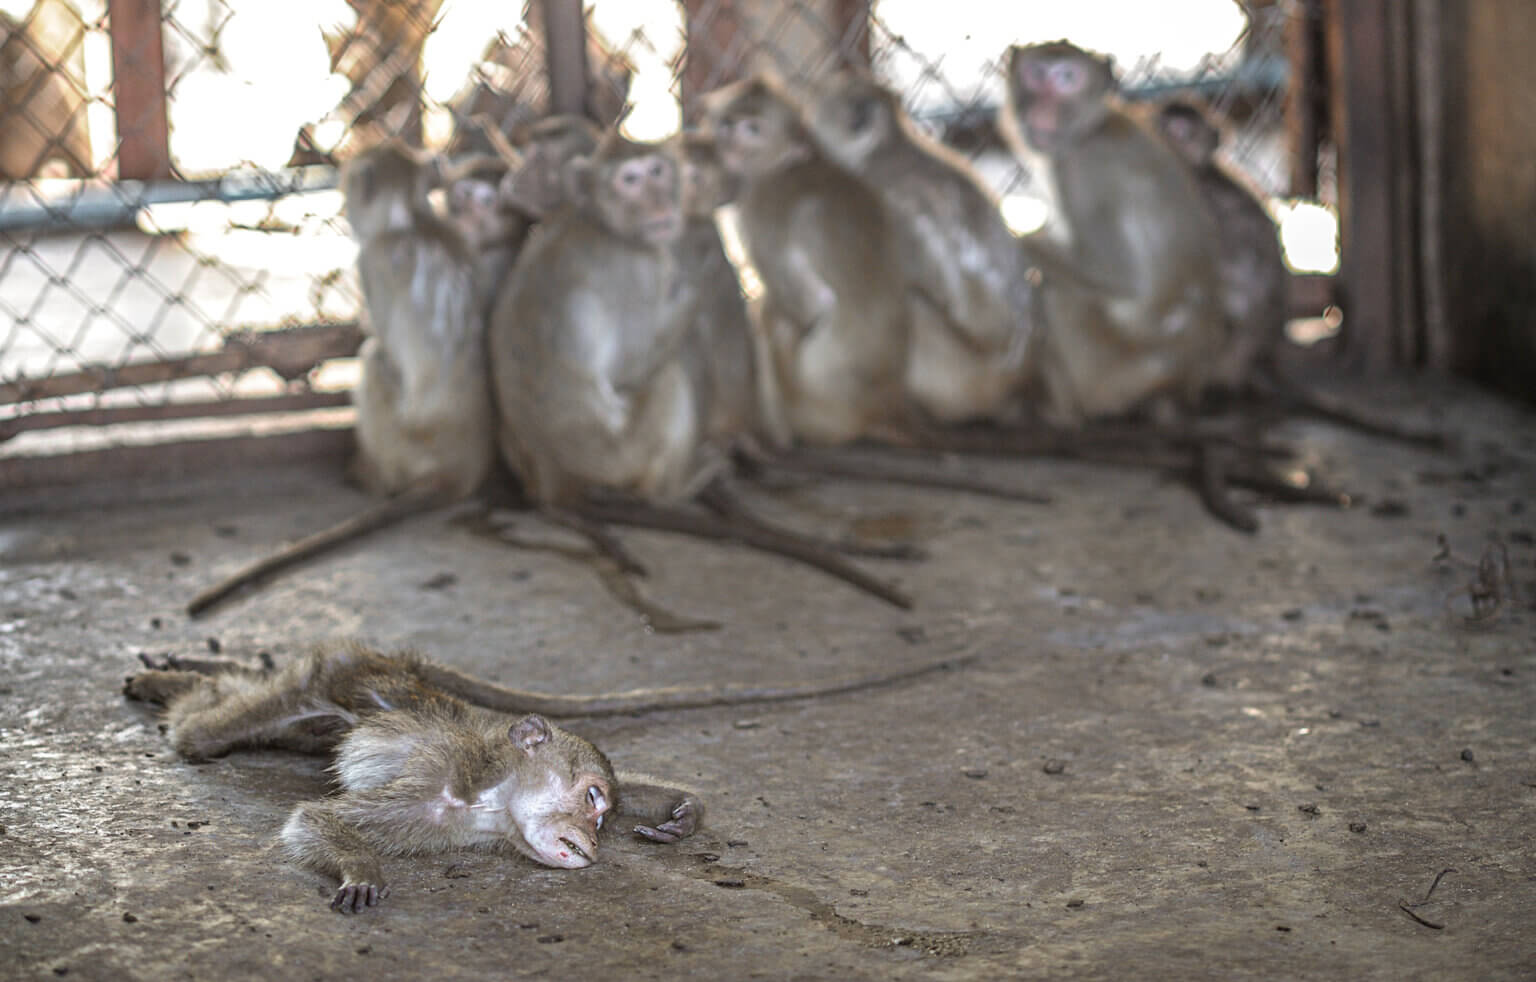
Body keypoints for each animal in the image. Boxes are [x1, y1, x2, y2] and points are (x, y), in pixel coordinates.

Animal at [122, 640, 973, 911]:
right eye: (590, 799)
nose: (593, 835)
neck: (486, 801)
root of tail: (399, 663)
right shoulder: (434, 798)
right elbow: (318, 820)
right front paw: (361, 869)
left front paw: (682, 810)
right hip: (331, 676)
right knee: (211, 731)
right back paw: (181, 686)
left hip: (330, 698)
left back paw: (180, 674)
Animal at [702, 75, 912, 448]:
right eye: (727, 123)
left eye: (752, 129)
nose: (729, 145)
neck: (788, 162)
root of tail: (882, 405)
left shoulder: (758, 208)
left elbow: (796, 308)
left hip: (818, 405)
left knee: (775, 313)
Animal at [999, 41, 1226, 426]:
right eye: (1036, 74)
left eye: (1067, 78)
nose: (1044, 106)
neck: (1091, 128)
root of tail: (1184, 385)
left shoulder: (1087, 169)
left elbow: (1114, 273)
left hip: (1112, 372)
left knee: (1054, 290)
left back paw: (1061, 413)